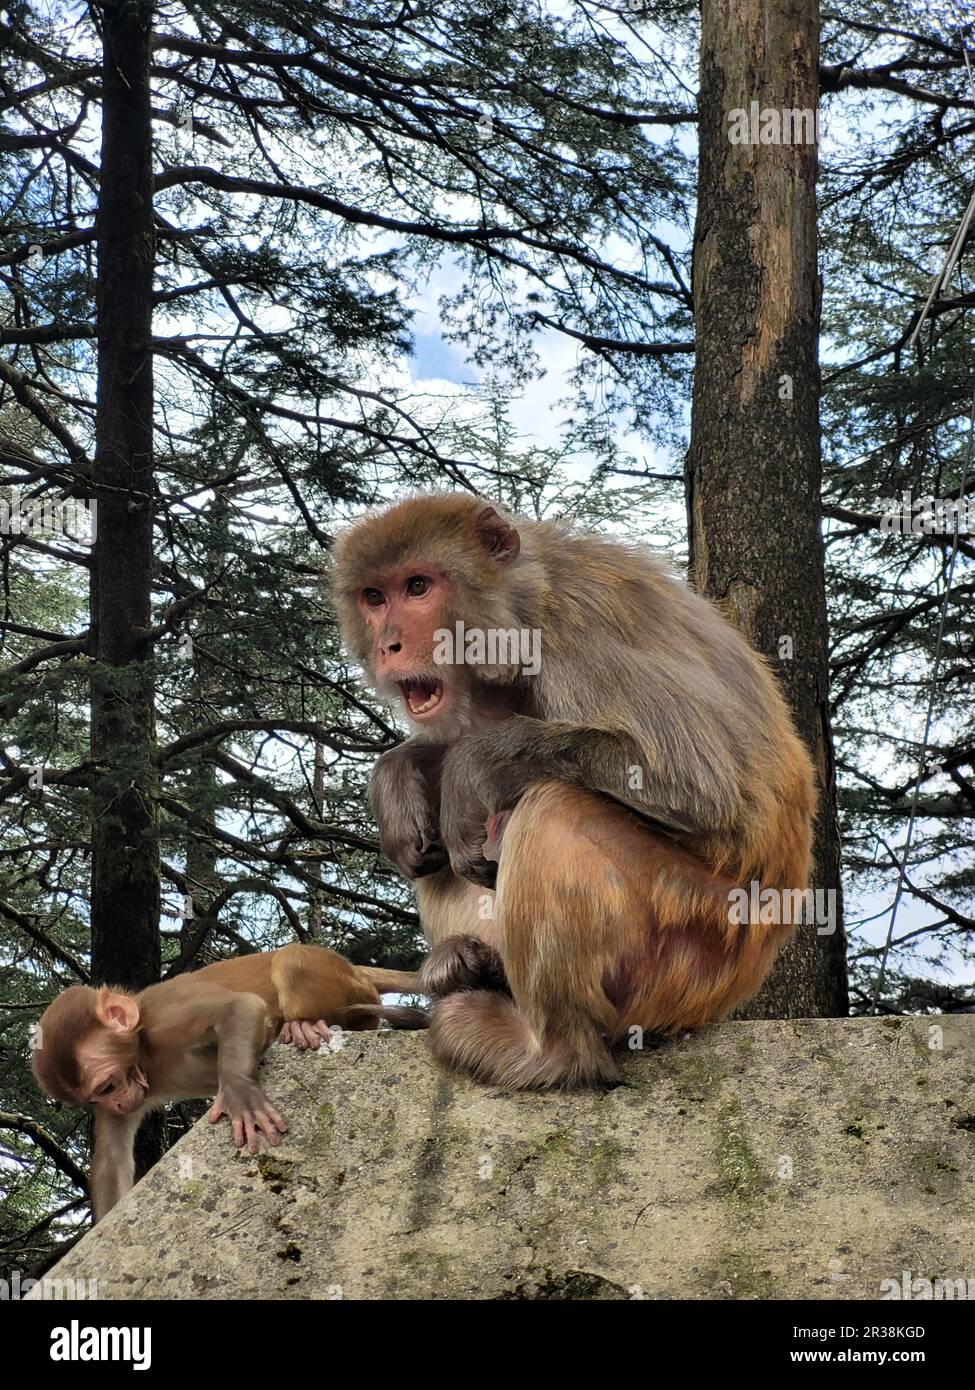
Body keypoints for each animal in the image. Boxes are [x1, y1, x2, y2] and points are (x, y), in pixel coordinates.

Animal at [31, 945, 426, 1219]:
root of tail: (354, 968)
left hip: (349, 985)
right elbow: (111, 1163)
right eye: (96, 1100)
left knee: (292, 960)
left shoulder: (166, 1017)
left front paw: (239, 1093)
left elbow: (240, 1007)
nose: (114, 1103)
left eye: (107, 1087)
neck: (144, 1052)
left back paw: (304, 1024)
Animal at [331, 492, 817, 1089]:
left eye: (418, 586)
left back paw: (552, 1051)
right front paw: (398, 774)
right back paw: (467, 965)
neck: (521, 608)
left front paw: (473, 764)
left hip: (691, 942)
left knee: (552, 806)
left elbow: (705, 784)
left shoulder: (577, 632)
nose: (389, 645)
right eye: (374, 597)